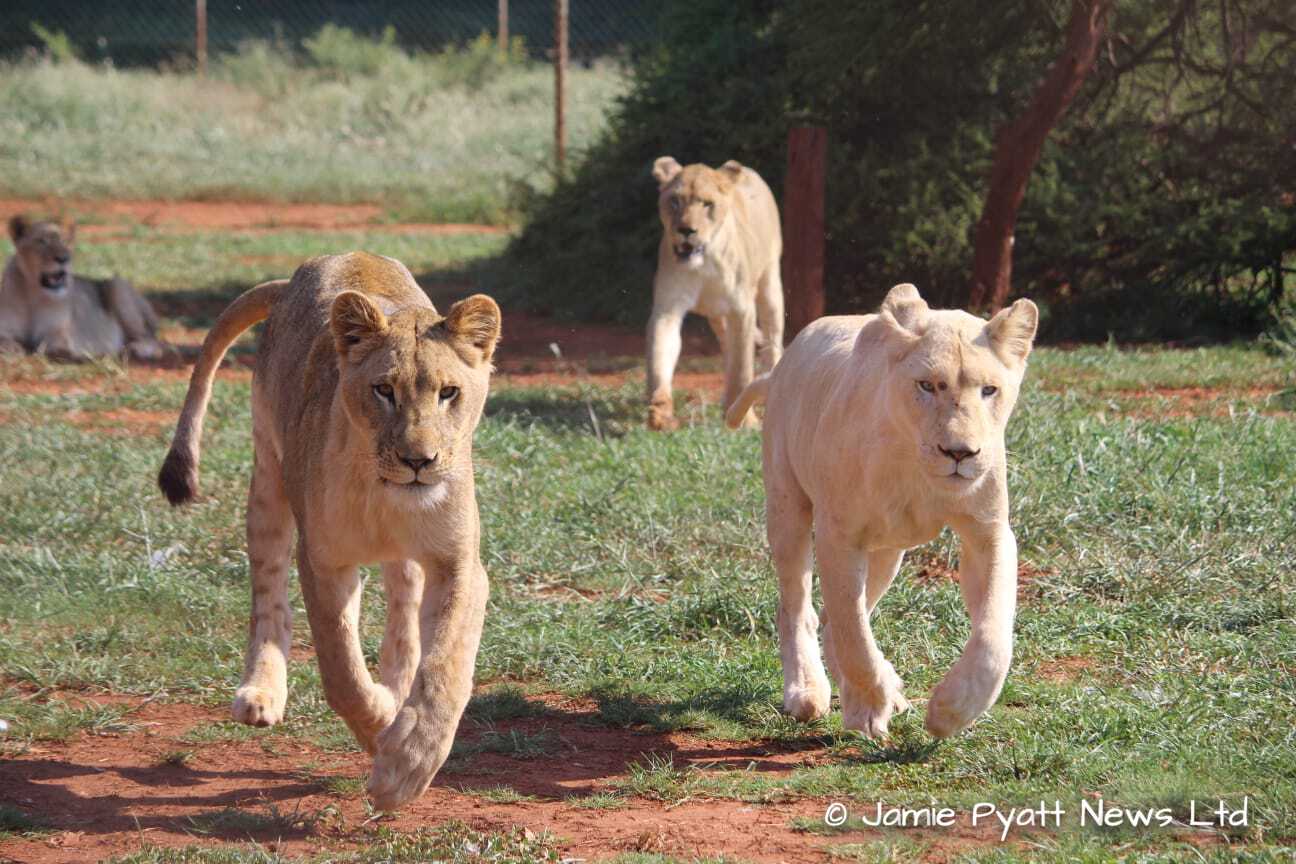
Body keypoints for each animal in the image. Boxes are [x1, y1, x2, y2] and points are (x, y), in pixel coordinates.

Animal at [1, 215, 163, 360]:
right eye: (42, 241)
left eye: (66, 241)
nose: (64, 258)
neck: (34, 295)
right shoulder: (5, 329)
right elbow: (5, 340)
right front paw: (13, 348)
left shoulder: (59, 331)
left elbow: (52, 344)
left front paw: (60, 352)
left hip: (117, 285)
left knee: (152, 340)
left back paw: (136, 350)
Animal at [157, 252, 501, 811]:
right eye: (384, 390)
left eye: (449, 392)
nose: (419, 461)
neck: (385, 496)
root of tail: (314, 266)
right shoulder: (323, 561)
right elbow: (341, 671)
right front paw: (382, 733)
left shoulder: (458, 564)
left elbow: (444, 664)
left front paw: (408, 758)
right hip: (269, 482)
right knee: (269, 600)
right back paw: (262, 692)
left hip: (401, 560)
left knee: (403, 611)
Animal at [646, 157, 783, 430]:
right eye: (674, 201)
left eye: (707, 203)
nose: (686, 229)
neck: (703, 262)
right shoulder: (667, 308)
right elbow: (660, 355)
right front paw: (660, 414)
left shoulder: (742, 310)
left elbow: (742, 367)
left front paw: (746, 421)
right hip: (717, 316)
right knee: (727, 347)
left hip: (770, 283)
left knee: (772, 340)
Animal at [726, 283, 1038, 739]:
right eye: (927, 385)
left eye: (989, 390)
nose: (959, 453)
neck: (916, 472)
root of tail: (783, 364)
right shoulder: (838, 536)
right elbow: (855, 635)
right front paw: (868, 710)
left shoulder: (989, 533)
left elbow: (993, 637)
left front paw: (951, 710)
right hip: (787, 510)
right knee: (799, 609)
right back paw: (807, 691)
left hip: (888, 552)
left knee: (834, 618)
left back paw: (886, 688)